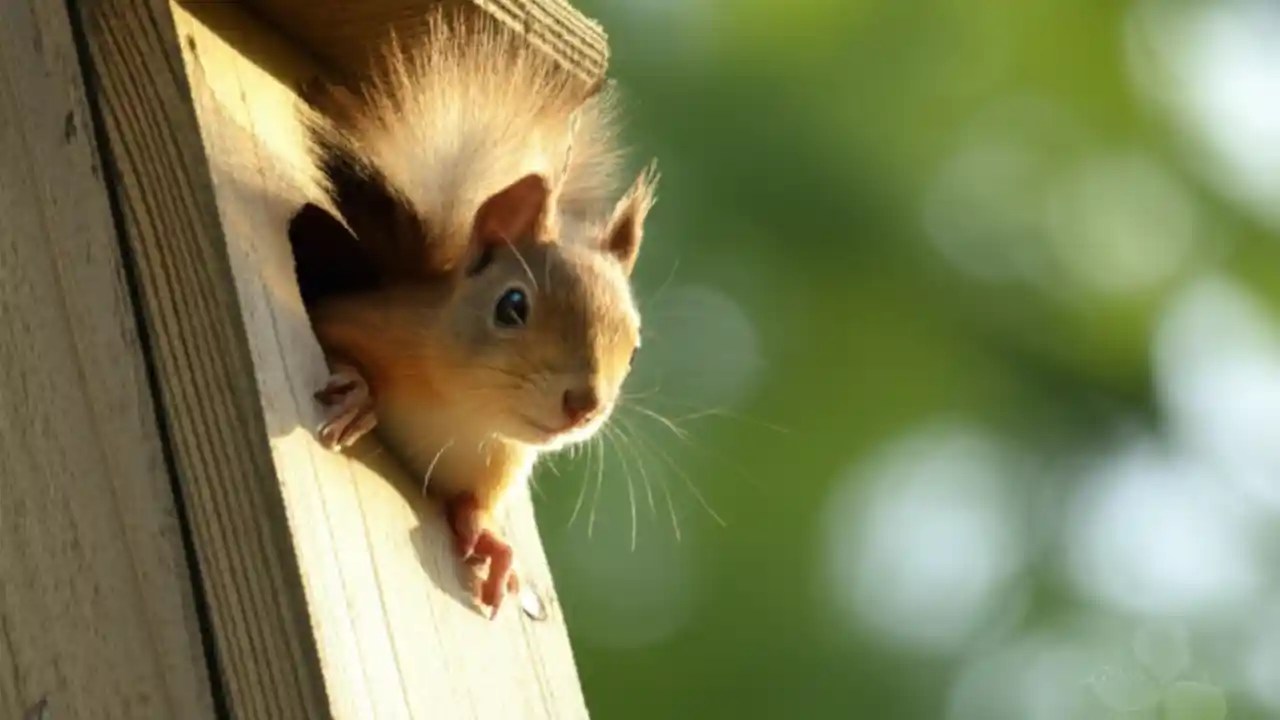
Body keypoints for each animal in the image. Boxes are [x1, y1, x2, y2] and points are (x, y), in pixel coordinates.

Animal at [294, 12, 657, 618]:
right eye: (512, 306)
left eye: (632, 350)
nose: (583, 406)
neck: (464, 410)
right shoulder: (364, 320)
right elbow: (333, 342)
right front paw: (357, 394)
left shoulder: (495, 466)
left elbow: (470, 507)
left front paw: (491, 544)